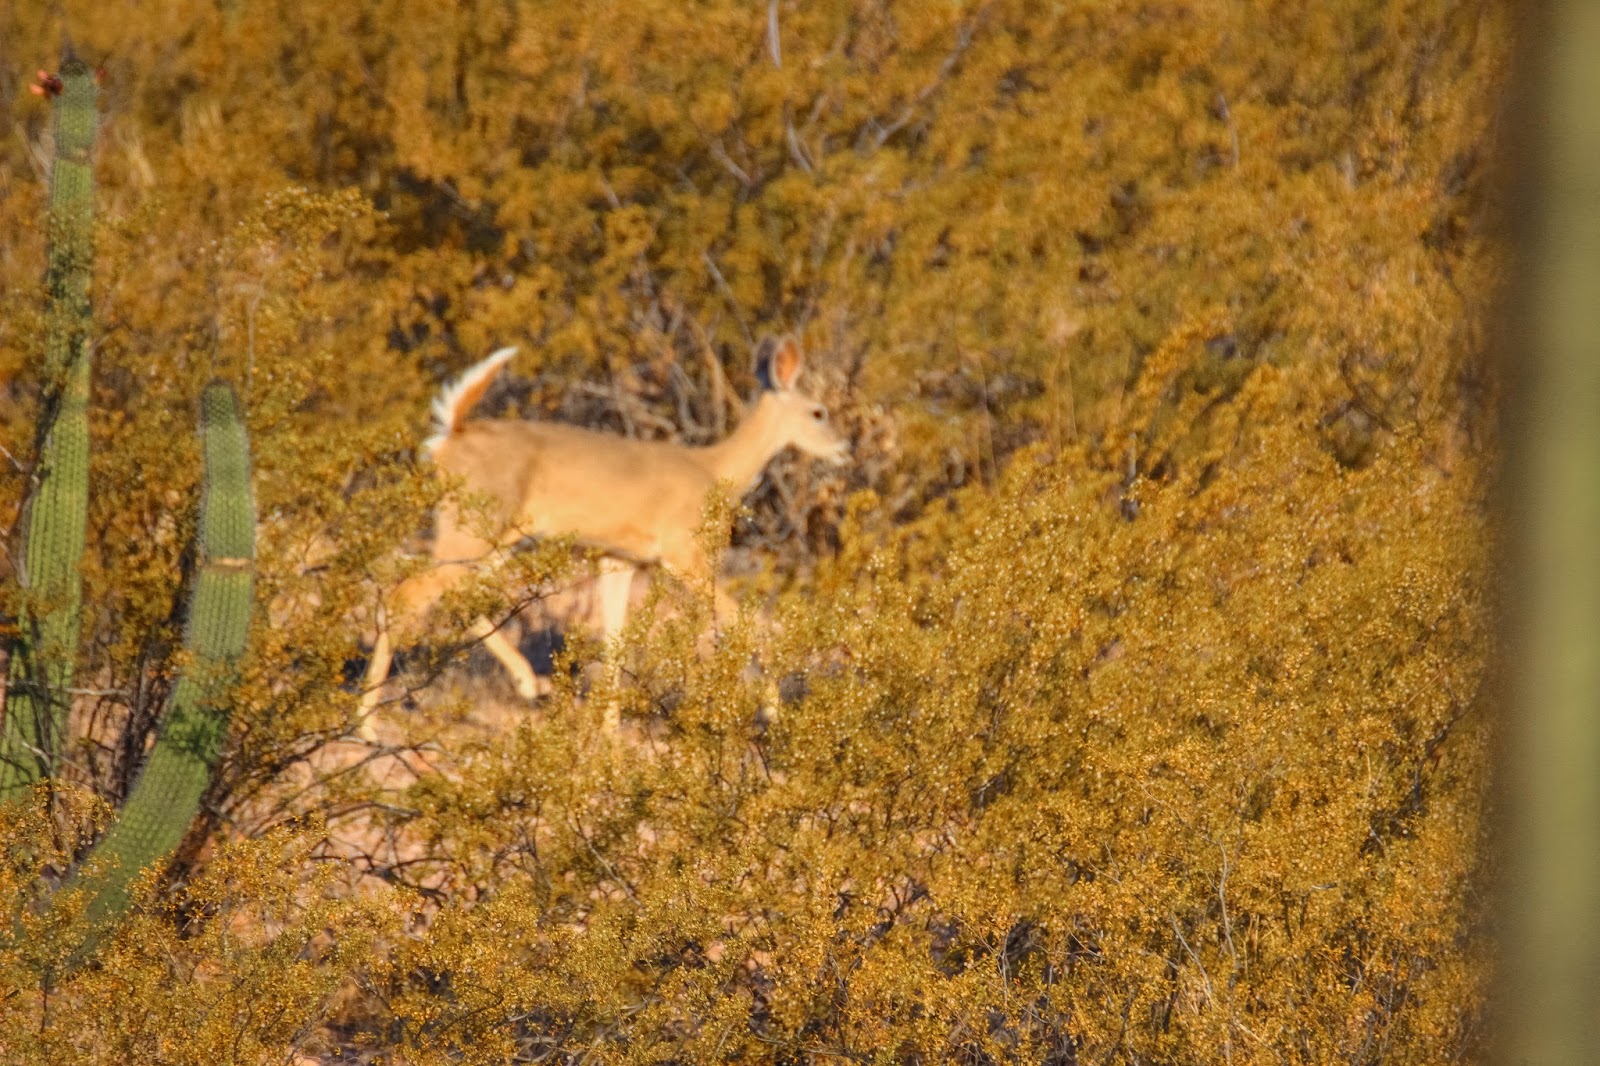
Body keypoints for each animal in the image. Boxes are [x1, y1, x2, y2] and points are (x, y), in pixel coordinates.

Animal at [358, 335, 850, 733]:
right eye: (818, 411)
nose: (845, 448)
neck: (715, 473)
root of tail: (451, 436)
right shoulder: (685, 551)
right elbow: (749, 625)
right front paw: (774, 713)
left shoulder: (620, 559)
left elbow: (614, 643)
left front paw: (610, 742)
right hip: (475, 529)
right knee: (406, 595)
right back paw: (367, 726)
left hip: (489, 535)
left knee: (455, 596)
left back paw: (530, 684)